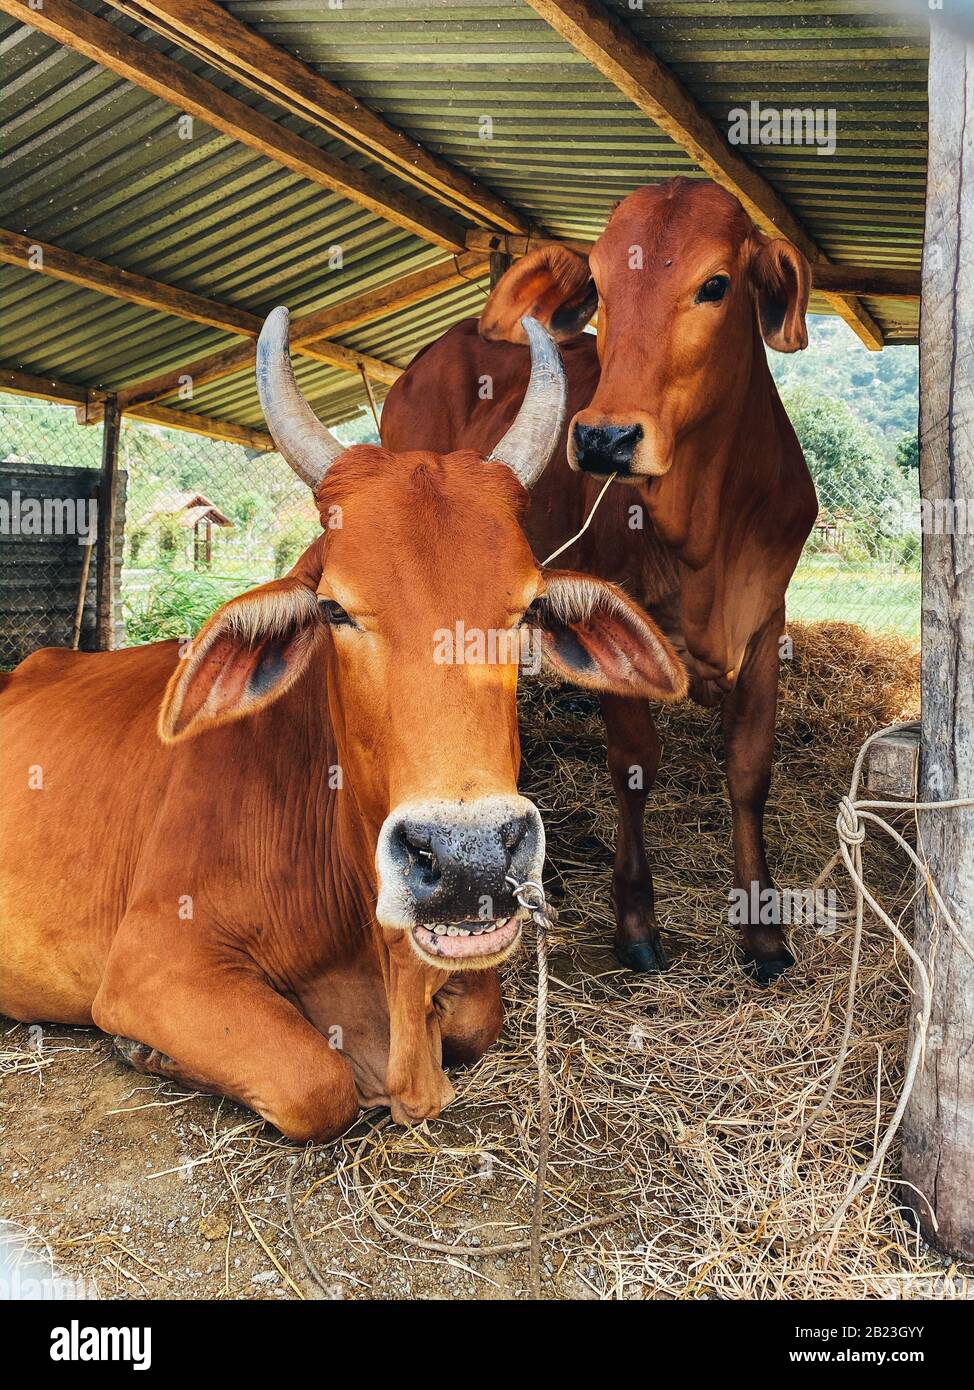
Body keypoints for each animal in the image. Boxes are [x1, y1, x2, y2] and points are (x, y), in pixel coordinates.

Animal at [0, 310, 686, 1142]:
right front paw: (145, 1051)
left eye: (526, 610)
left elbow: (474, 1023)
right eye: (333, 608)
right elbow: (315, 1082)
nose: (469, 861)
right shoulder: (153, 963)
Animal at [381, 178, 819, 984]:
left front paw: (764, 933)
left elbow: (749, 770)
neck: (703, 526)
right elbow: (635, 766)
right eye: (604, 292)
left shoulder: (766, 623)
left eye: (716, 285)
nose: (604, 439)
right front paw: (637, 924)